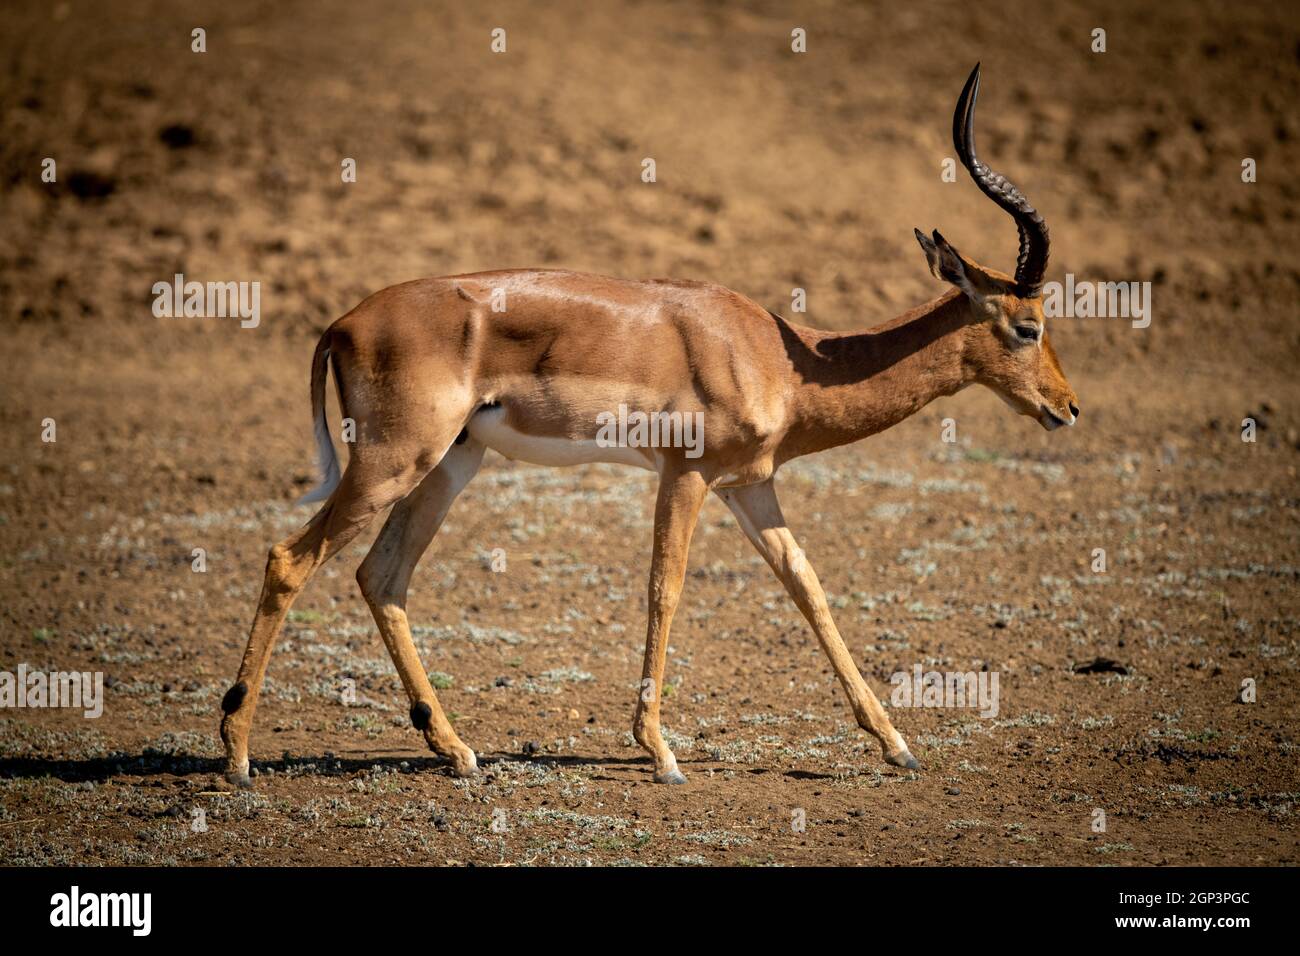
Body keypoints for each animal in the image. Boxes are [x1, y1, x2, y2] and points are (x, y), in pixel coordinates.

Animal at [219, 64, 1077, 787]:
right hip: (393, 460)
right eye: (1028, 325)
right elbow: (665, 589)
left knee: (382, 575)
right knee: (290, 560)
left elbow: (808, 587)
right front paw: (661, 753)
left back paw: (456, 751)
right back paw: (237, 757)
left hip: (452, 463)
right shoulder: (687, 474)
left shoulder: (750, 486)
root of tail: (342, 322)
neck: (778, 357)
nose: (1067, 407)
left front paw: (897, 744)